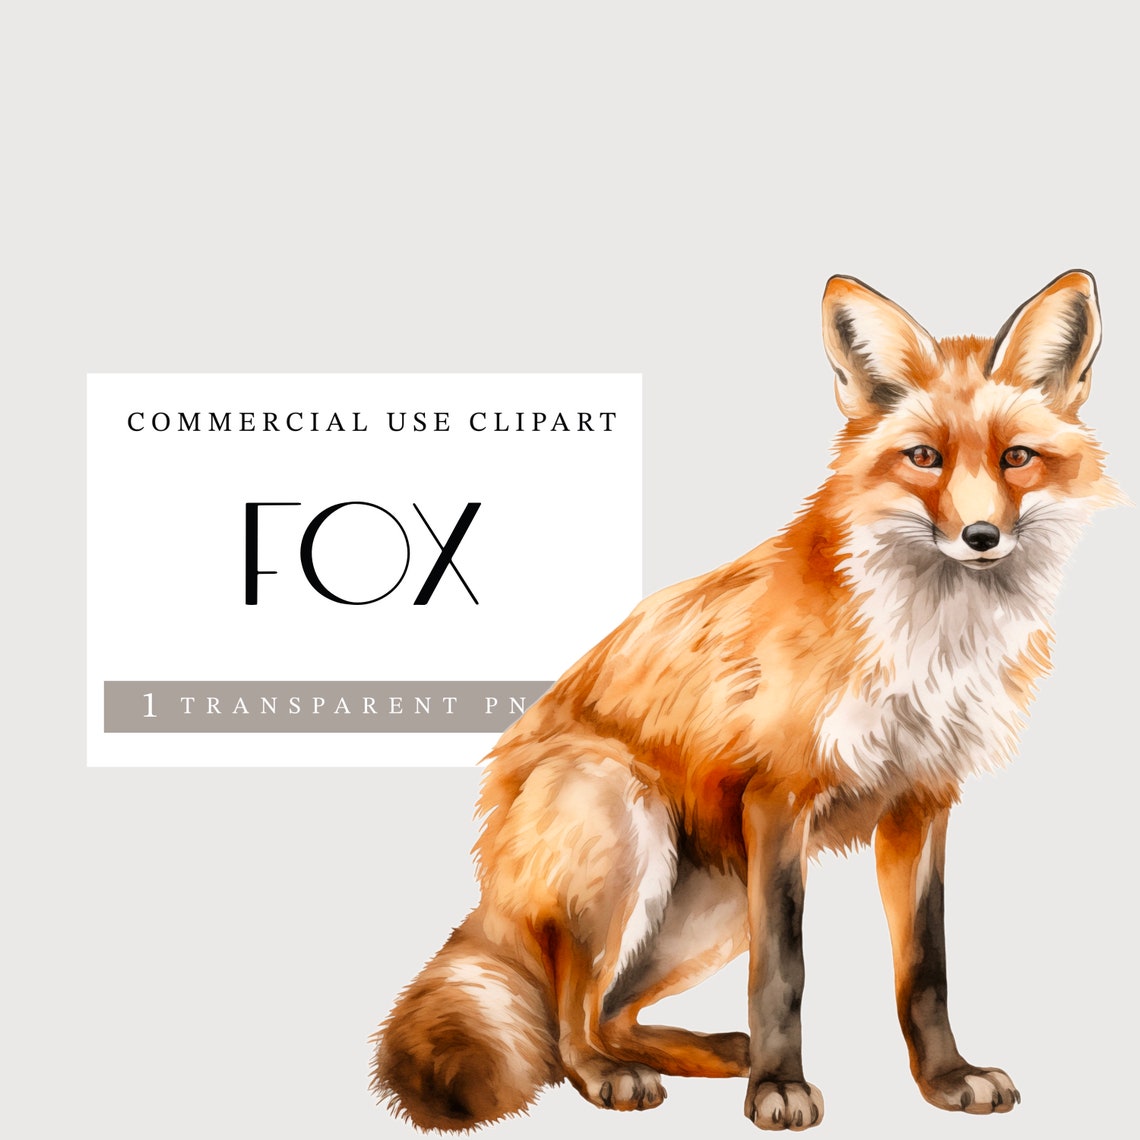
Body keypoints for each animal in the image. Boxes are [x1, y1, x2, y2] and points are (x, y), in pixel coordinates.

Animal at [372, 271, 1118, 1132]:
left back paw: (708, 1051)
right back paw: (612, 1074)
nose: (981, 536)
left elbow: (924, 972)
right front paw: (779, 1089)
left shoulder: (923, 802)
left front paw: (945, 1079)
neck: (931, 644)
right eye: (924, 458)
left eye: (1017, 458)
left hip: (711, 903)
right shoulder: (779, 799)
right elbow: (783, 975)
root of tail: (491, 887)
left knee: (613, 1010)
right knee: (570, 1018)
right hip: (623, 818)